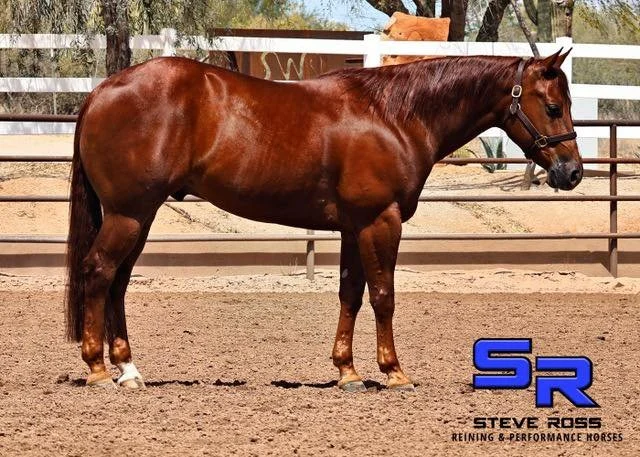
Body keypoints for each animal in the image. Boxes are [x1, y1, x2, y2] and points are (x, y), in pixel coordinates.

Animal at [65, 49, 582, 391]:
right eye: (553, 106)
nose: (572, 172)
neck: (392, 116)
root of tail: (101, 91)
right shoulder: (381, 221)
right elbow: (384, 296)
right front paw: (393, 372)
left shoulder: (355, 227)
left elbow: (350, 295)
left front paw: (347, 371)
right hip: (129, 214)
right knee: (99, 272)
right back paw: (97, 370)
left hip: (140, 216)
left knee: (118, 283)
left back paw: (128, 370)